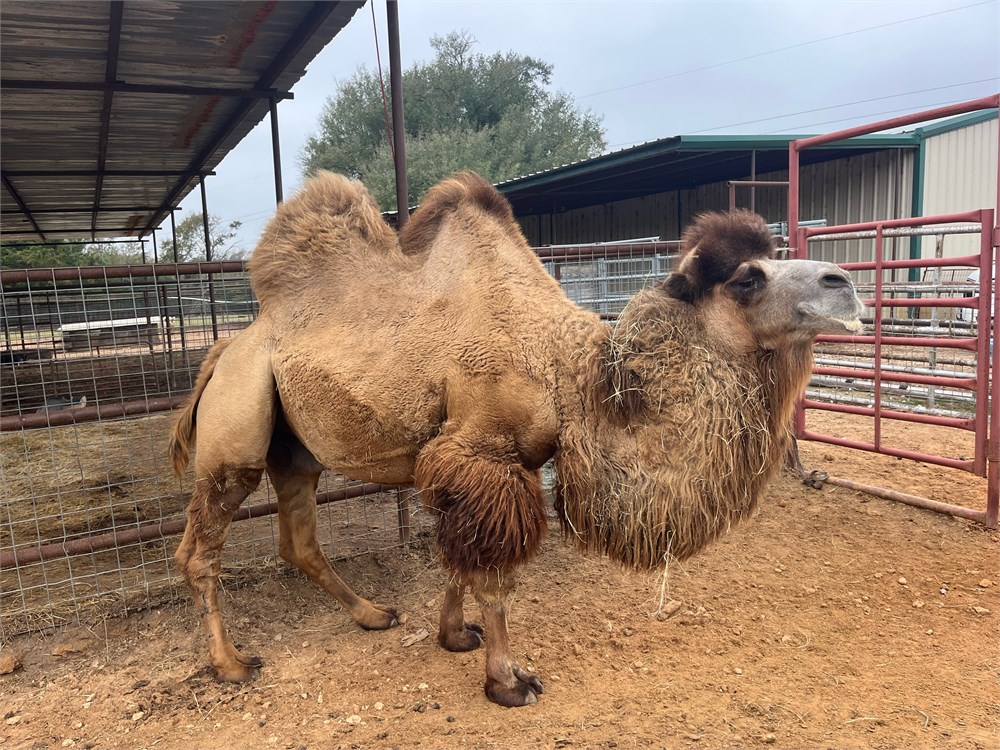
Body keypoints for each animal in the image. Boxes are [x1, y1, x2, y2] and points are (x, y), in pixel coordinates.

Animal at [169, 171, 864, 707]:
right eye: (747, 278)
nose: (845, 283)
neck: (568, 373)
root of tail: (225, 349)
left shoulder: (482, 464)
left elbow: (460, 557)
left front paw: (455, 636)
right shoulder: (482, 455)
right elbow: (494, 576)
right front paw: (508, 681)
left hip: (297, 450)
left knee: (299, 539)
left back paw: (372, 614)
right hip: (236, 430)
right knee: (201, 548)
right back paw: (231, 664)